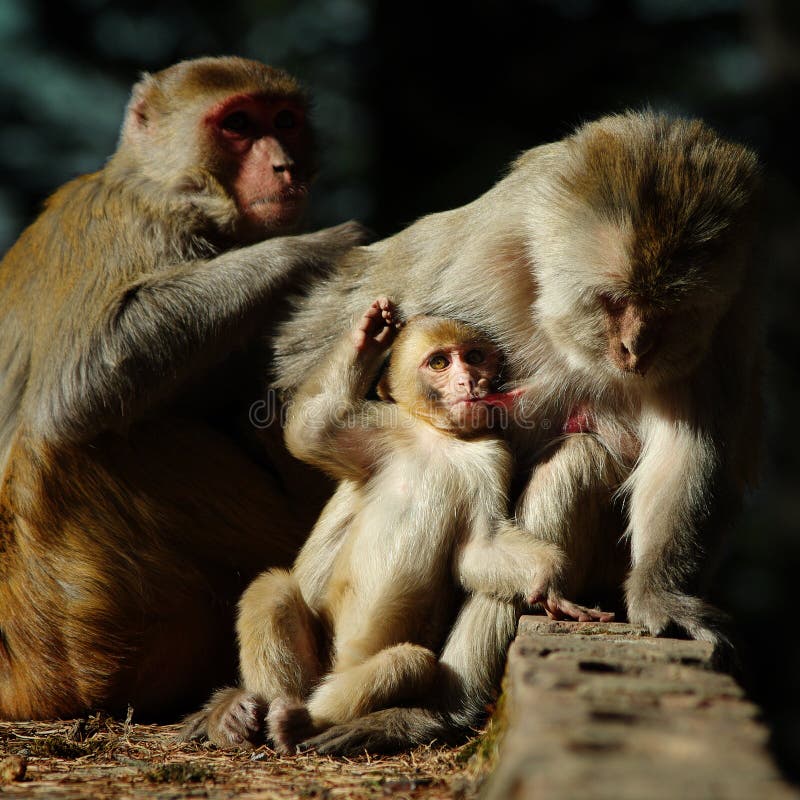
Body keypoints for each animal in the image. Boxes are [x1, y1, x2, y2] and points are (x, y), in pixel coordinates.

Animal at [0, 56, 369, 721]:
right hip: (57, 636)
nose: (285, 165)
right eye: (238, 125)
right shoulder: (139, 224)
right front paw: (309, 250)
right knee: (80, 440)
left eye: (285, 121)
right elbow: (80, 381)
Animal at [181, 298, 613, 750]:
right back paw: (258, 711)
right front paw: (367, 336)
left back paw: (298, 721)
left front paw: (551, 583)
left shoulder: (491, 458)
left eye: (474, 357)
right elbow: (312, 431)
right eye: (440, 362)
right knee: (274, 589)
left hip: (353, 674)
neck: (440, 438)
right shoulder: (384, 432)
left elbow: (479, 548)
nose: (468, 381)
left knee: (409, 664)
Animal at [237, 110, 758, 754]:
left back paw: (431, 711)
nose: (635, 347)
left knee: (573, 465)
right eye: (613, 301)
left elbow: (689, 446)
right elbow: (309, 358)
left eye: (665, 308)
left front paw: (660, 593)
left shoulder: (724, 317)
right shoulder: (489, 245)